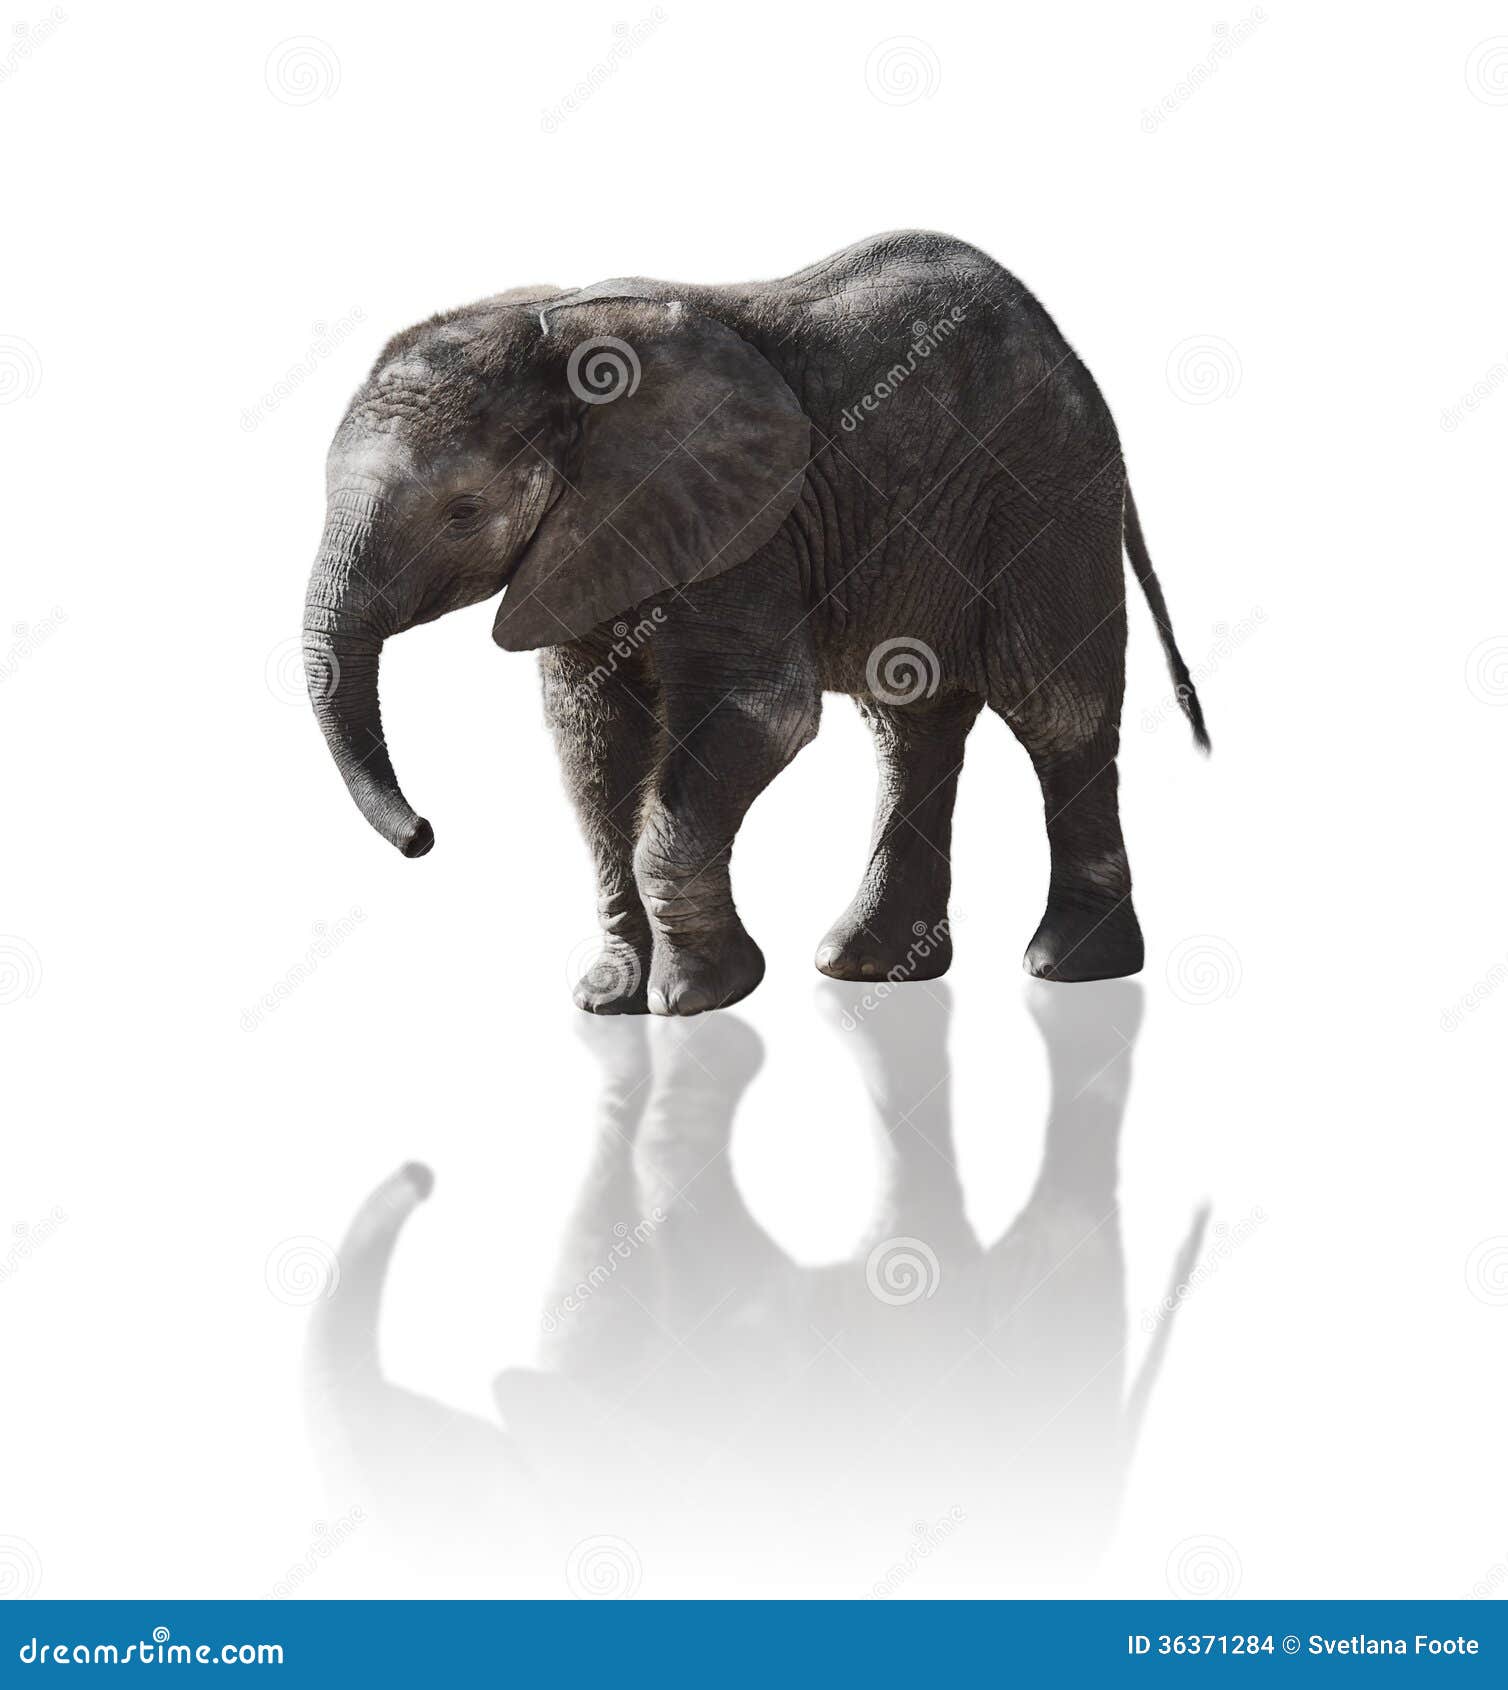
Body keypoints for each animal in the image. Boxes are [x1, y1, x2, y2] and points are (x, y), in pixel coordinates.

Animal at [301, 230, 1210, 1015]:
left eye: (463, 512)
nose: (423, 837)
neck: (562, 338)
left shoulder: (746, 529)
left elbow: (762, 713)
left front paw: (695, 998)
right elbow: (593, 738)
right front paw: (609, 1000)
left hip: (1047, 491)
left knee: (1054, 705)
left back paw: (1070, 967)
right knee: (910, 721)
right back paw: (870, 966)